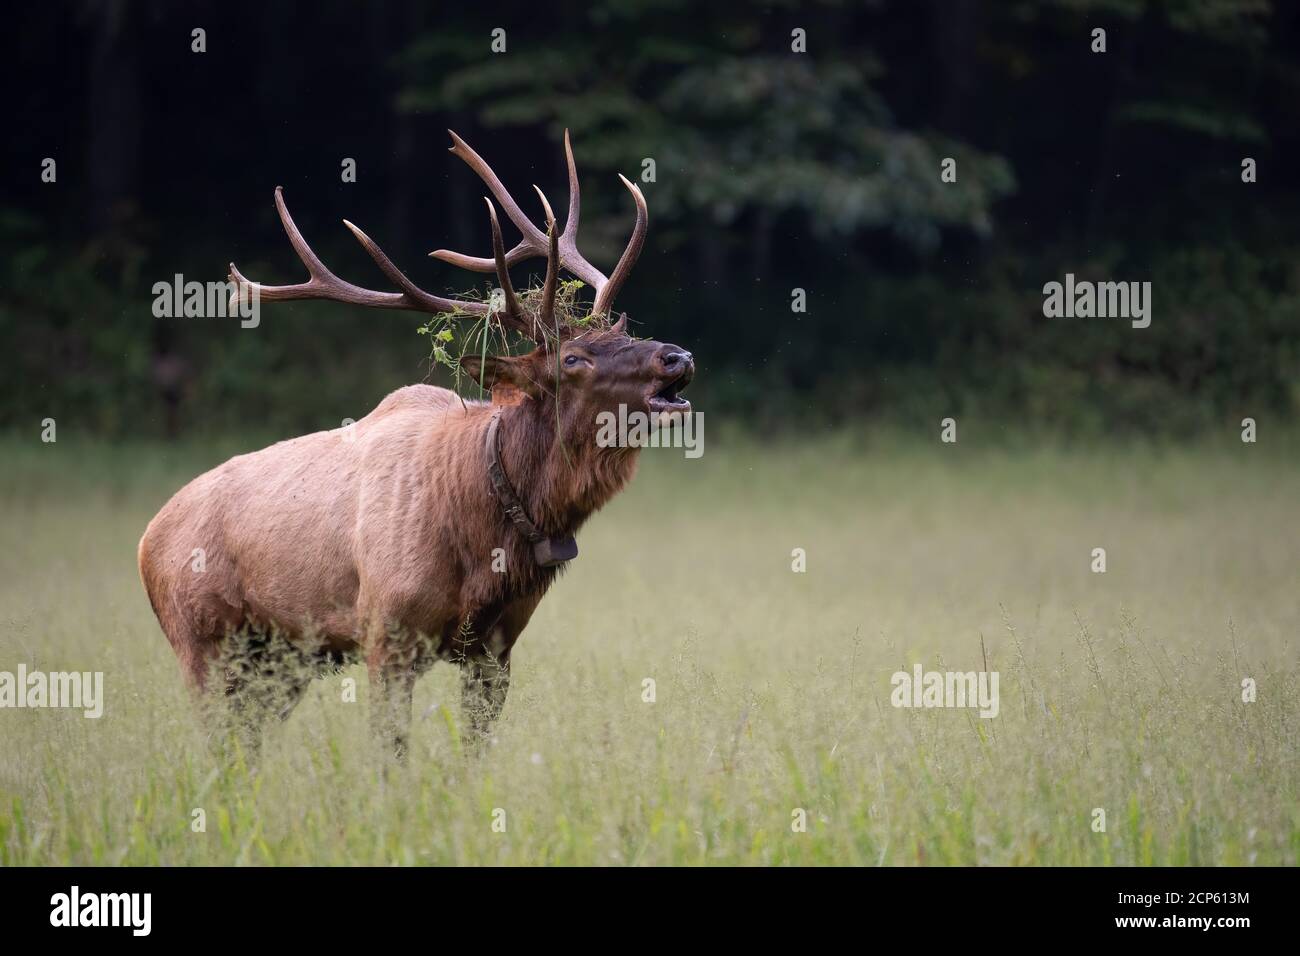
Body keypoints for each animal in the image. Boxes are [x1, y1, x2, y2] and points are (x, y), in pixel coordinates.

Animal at [138, 131, 694, 760]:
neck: (485, 537)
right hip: (202, 641)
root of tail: (146, 541)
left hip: (279, 661)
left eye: (623, 331)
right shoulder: (387, 632)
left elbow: (474, 755)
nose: (677, 356)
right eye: (573, 359)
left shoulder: (497, 648)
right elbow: (391, 755)